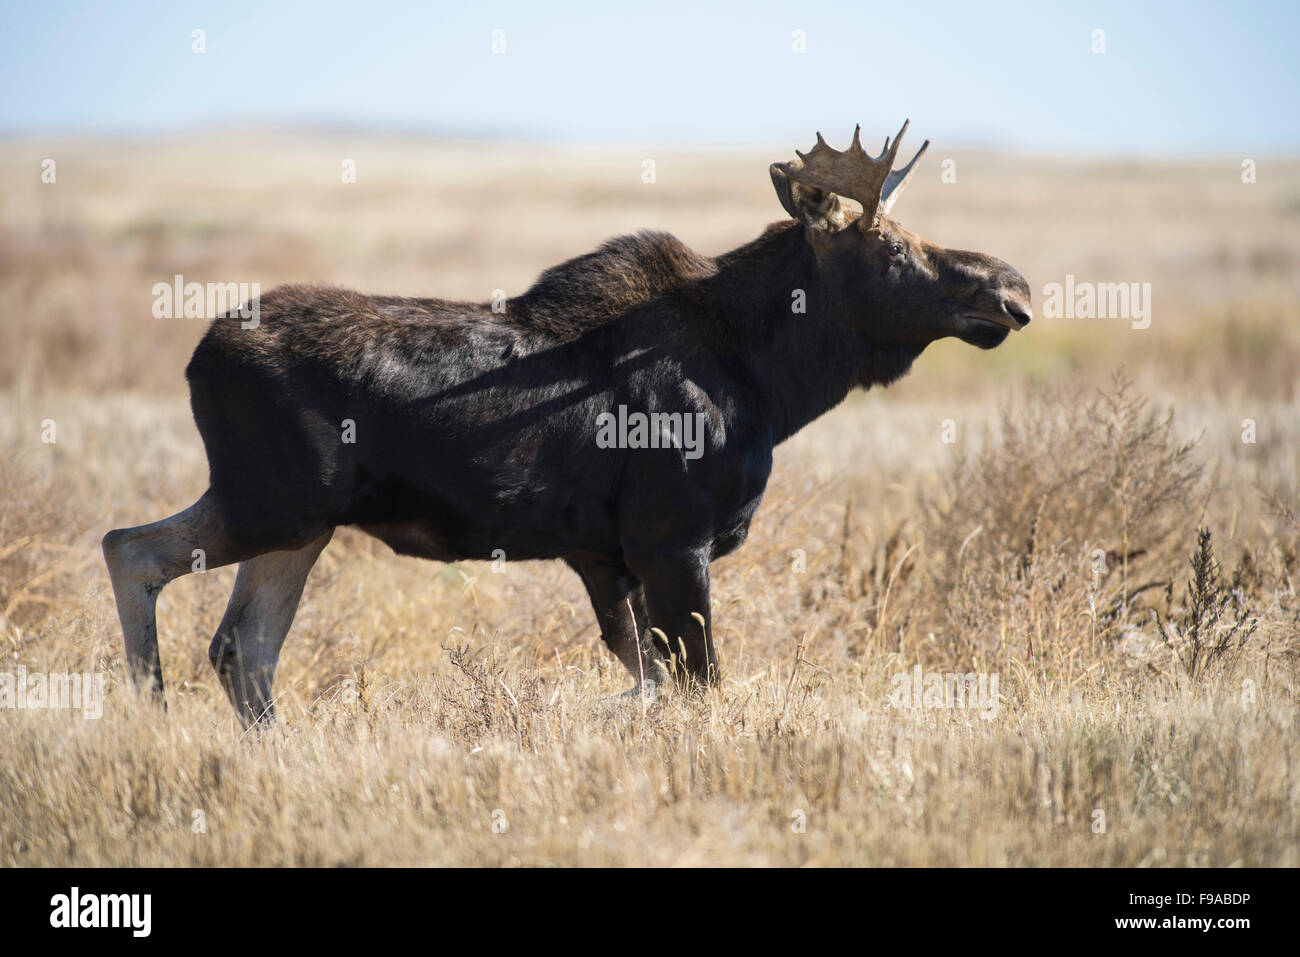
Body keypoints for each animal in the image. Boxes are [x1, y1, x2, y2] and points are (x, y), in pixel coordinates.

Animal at [103, 122, 1031, 727]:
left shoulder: (604, 554)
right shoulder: (670, 538)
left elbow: (649, 680)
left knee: (243, 647)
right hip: (271, 502)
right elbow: (696, 683)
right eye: (895, 248)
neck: (772, 380)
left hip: (302, 524)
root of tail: (199, 354)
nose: (1011, 289)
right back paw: (151, 718)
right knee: (133, 551)